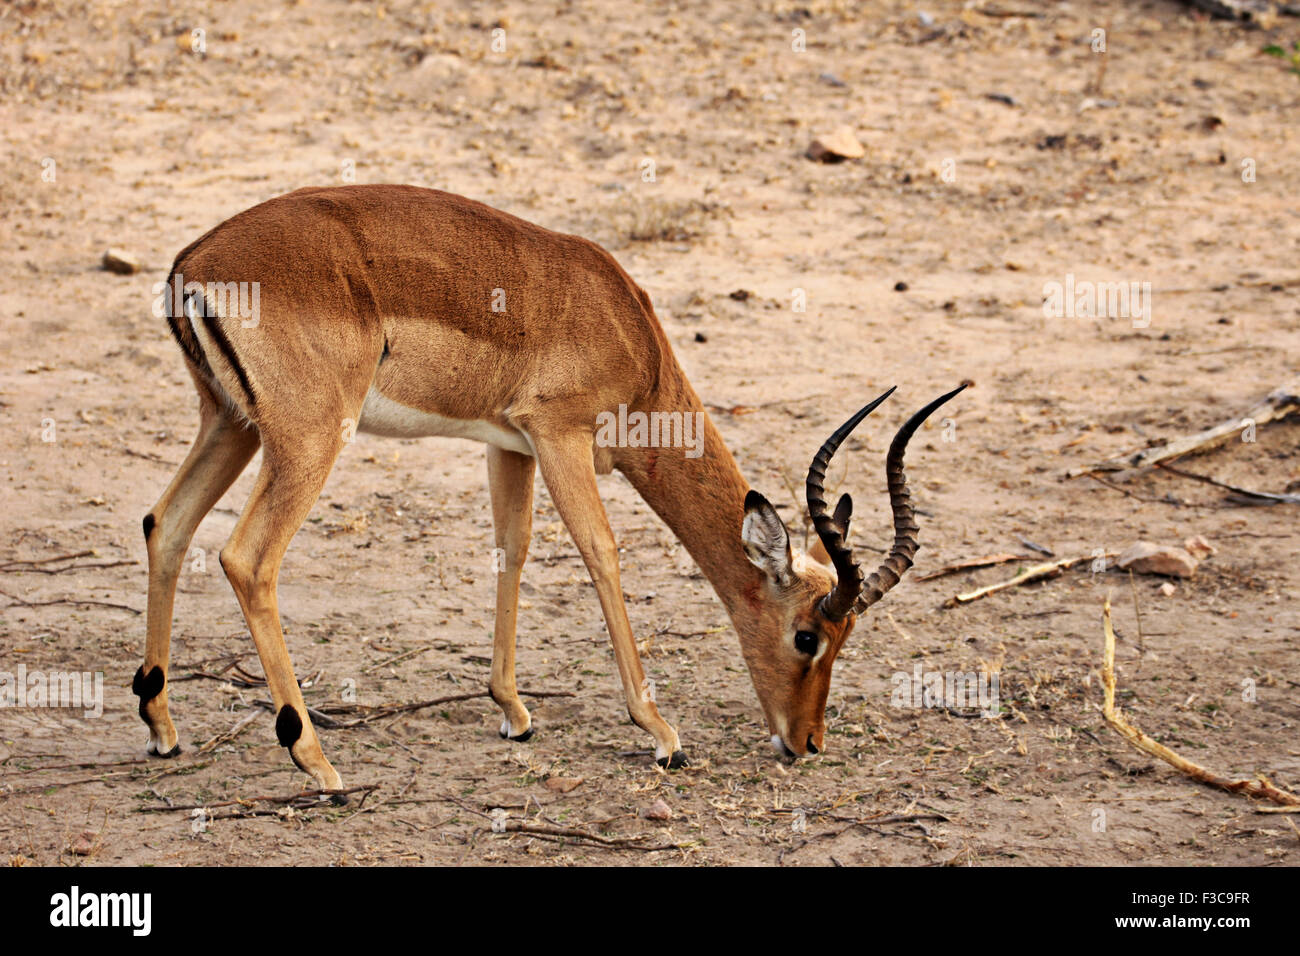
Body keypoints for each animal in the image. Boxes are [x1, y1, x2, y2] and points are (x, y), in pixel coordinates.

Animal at [137, 184, 964, 799]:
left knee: (165, 523)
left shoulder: (511, 445)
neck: (632, 332)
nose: (807, 742)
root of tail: (192, 262)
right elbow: (602, 553)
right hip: (309, 439)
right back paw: (318, 764)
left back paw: (163, 729)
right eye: (808, 636)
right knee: (247, 558)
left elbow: (513, 548)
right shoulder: (562, 436)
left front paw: (514, 712)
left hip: (231, 424)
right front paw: (661, 735)